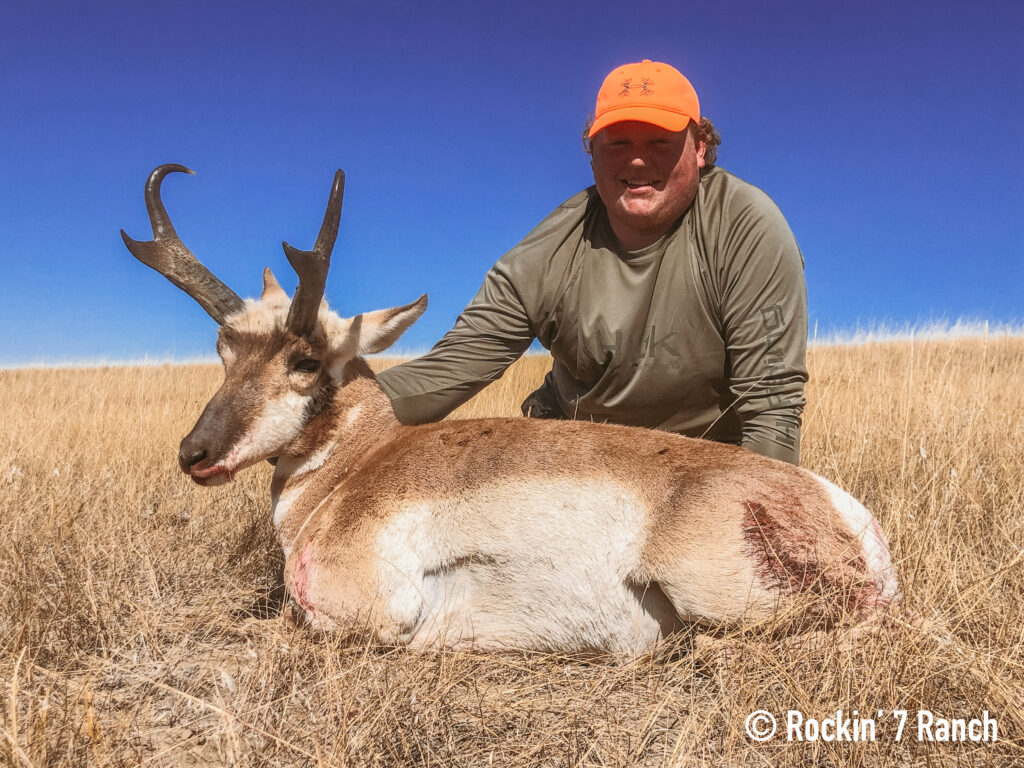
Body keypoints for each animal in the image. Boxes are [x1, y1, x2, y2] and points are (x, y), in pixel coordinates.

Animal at [123, 164, 900, 655]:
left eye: (306, 361)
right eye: (223, 348)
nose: (194, 453)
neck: (356, 466)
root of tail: (844, 514)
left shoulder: (363, 610)